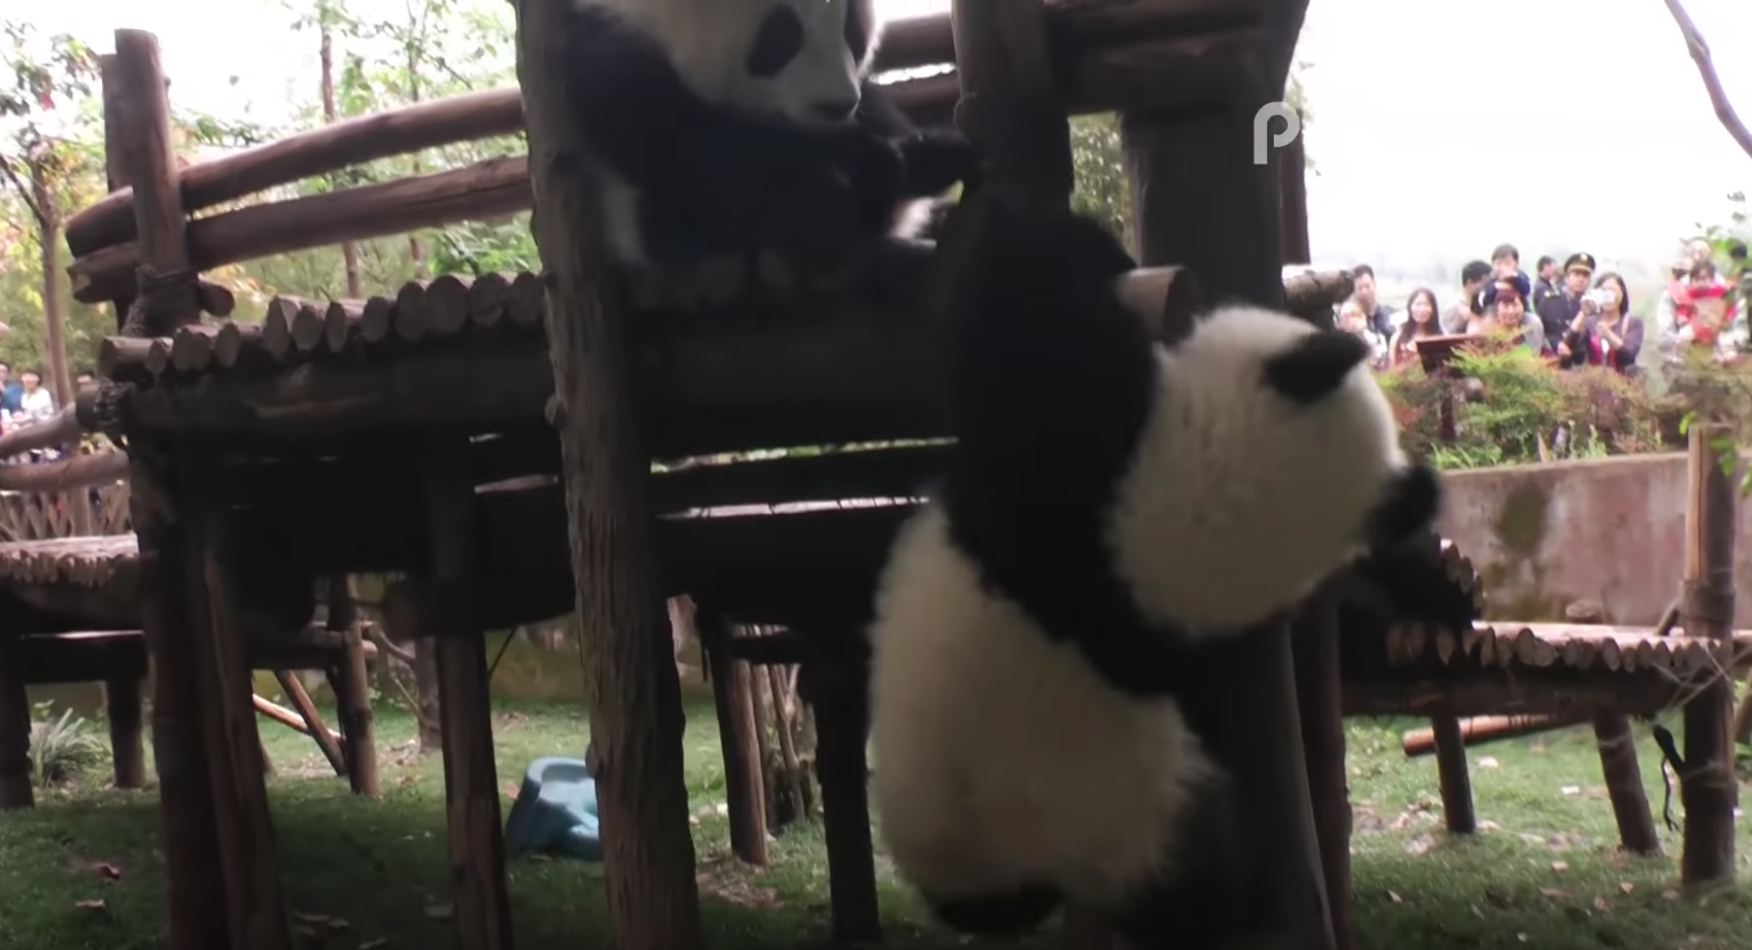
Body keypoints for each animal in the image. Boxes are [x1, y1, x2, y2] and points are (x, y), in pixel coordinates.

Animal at [556, 0, 979, 305]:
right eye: (782, 33)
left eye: (850, 27)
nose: (836, 106)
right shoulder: (608, 56)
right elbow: (698, 154)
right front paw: (851, 175)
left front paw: (930, 155)